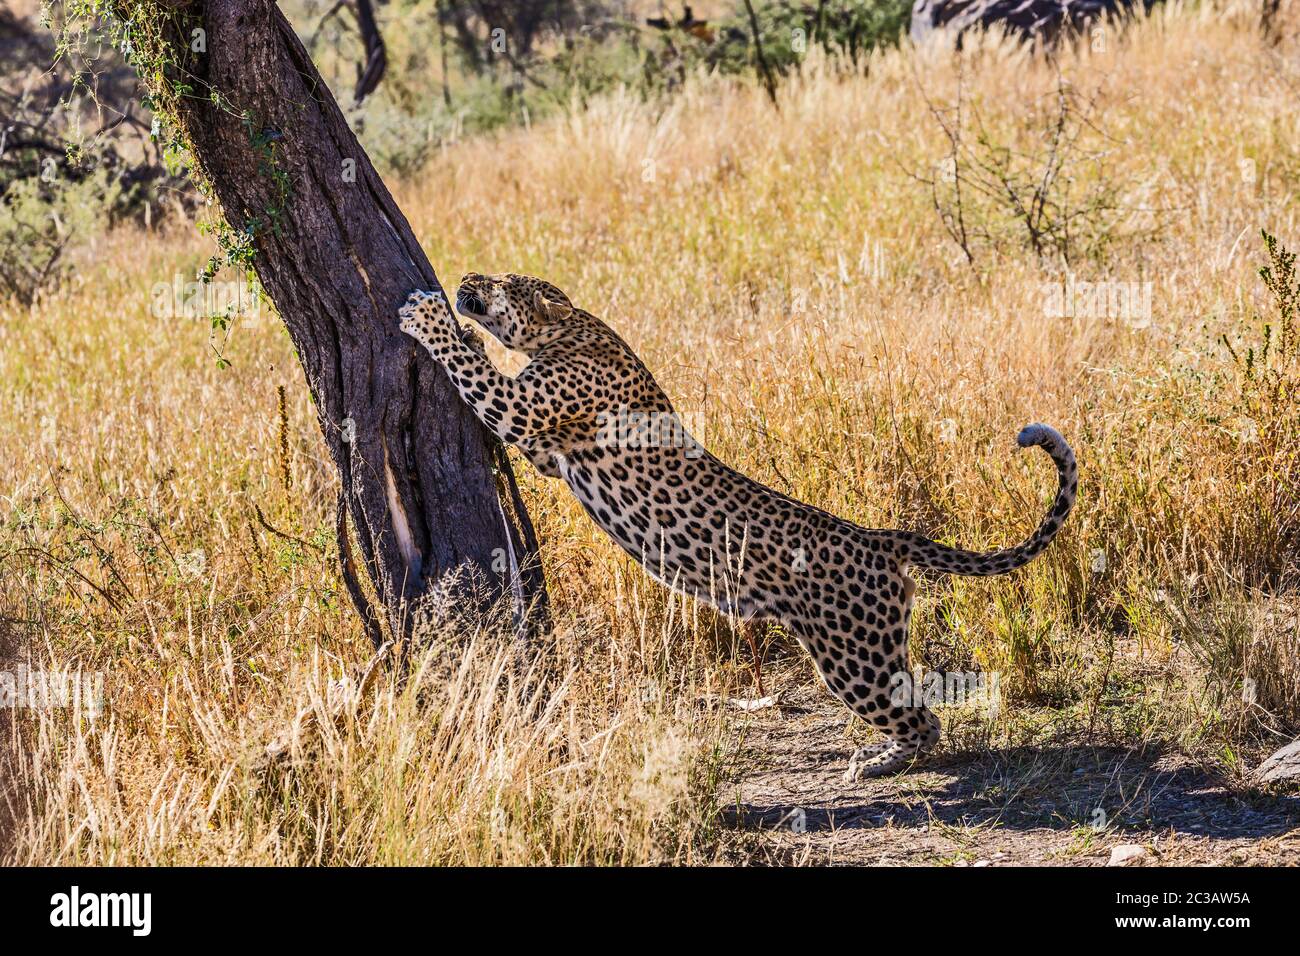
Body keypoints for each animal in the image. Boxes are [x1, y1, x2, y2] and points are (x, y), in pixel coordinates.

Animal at [398, 274, 1077, 779]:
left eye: (500, 281)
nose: (465, 278)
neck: (571, 327)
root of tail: (879, 537)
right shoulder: (542, 449)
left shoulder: (519, 409)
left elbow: (467, 362)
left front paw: (426, 314)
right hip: (873, 643)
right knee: (915, 704)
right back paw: (880, 756)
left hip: (852, 655)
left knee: (922, 718)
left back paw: (879, 763)